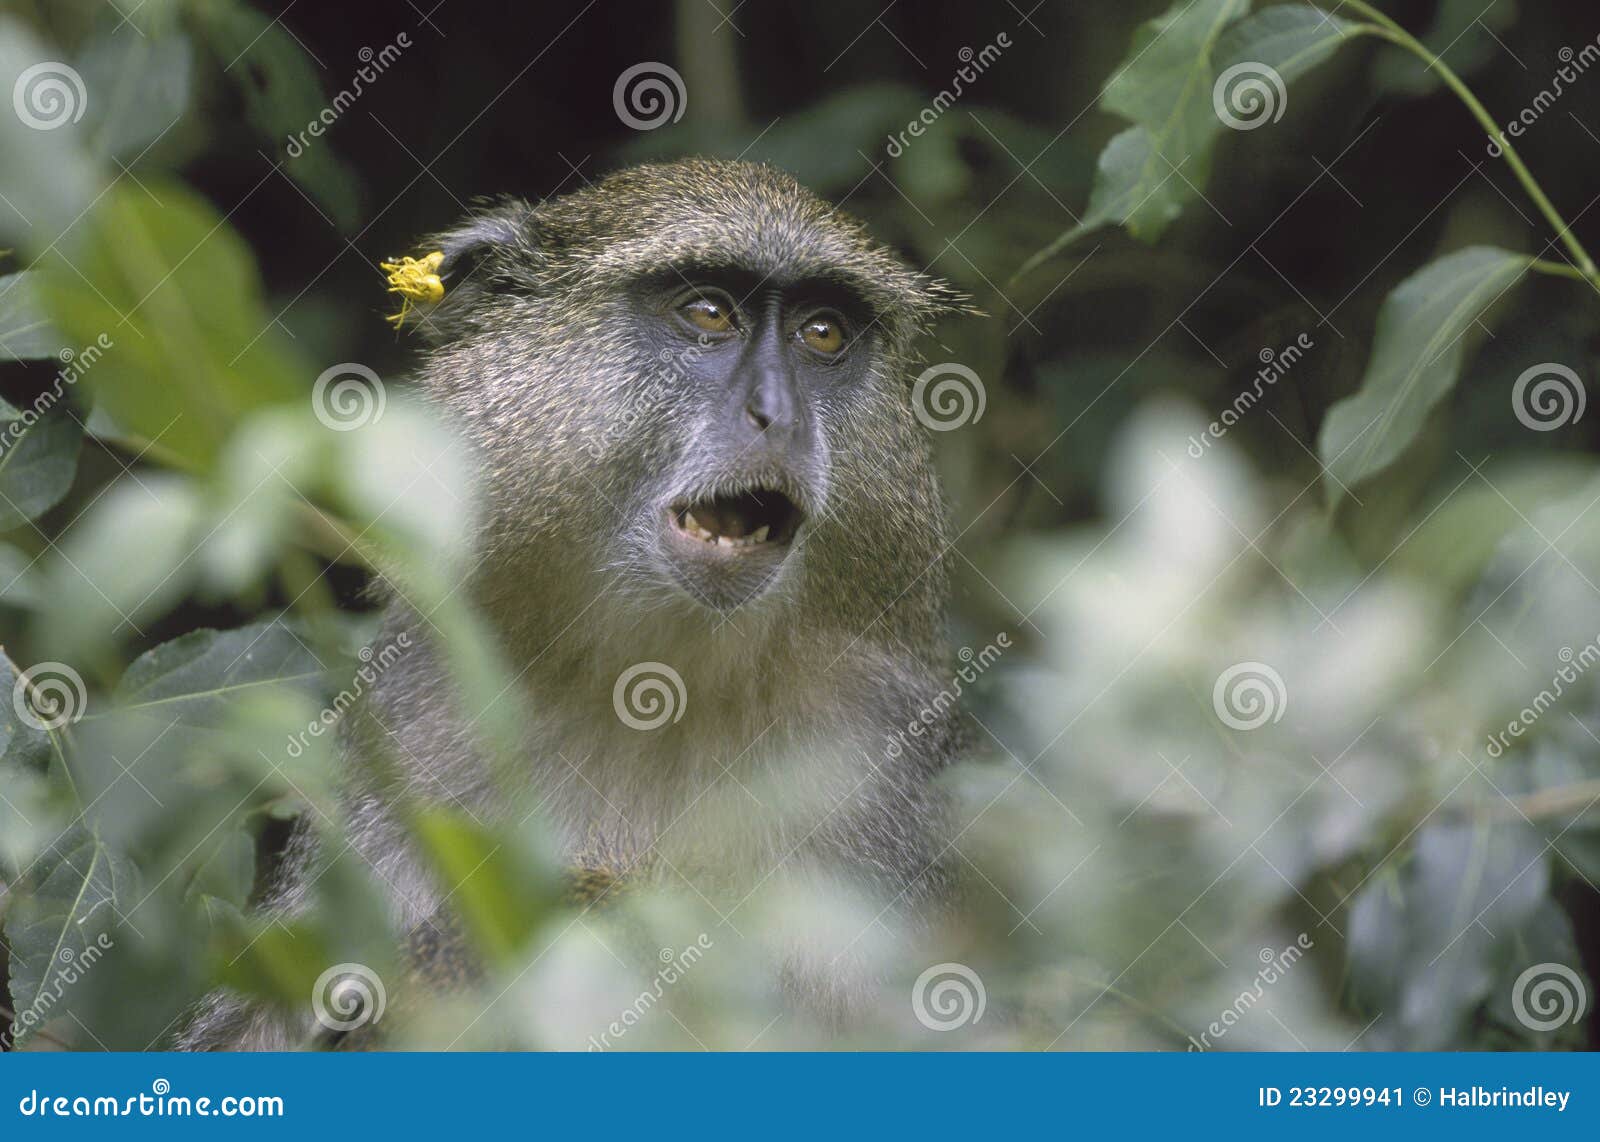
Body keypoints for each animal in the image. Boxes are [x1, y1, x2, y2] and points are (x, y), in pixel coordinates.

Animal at [179, 158, 969, 1049]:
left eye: (824, 334)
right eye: (708, 313)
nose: (778, 415)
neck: (656, 684)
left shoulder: (877, 737)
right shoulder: (415, 708)